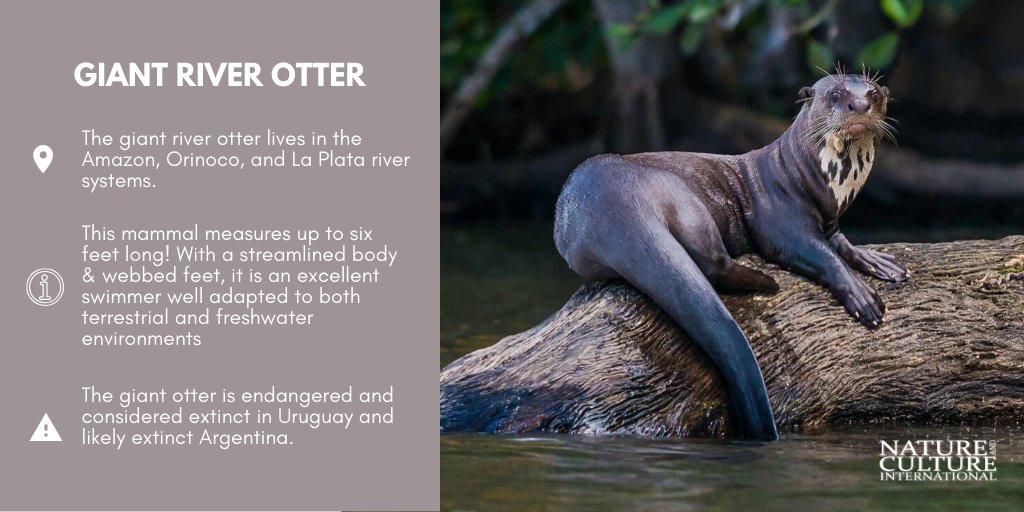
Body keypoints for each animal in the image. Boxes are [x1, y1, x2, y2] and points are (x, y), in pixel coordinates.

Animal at [553, 73, 908, 440]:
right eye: (836, 94)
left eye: (874, 94)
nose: (860, 105)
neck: (810, 179)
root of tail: (609, 202)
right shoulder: (781, 219)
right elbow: (818, 254)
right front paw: (861, 296)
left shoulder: (831, 220)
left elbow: (841, 243)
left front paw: (879, 261)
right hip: (681, 196)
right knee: (712, 262)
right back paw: (766, 282)